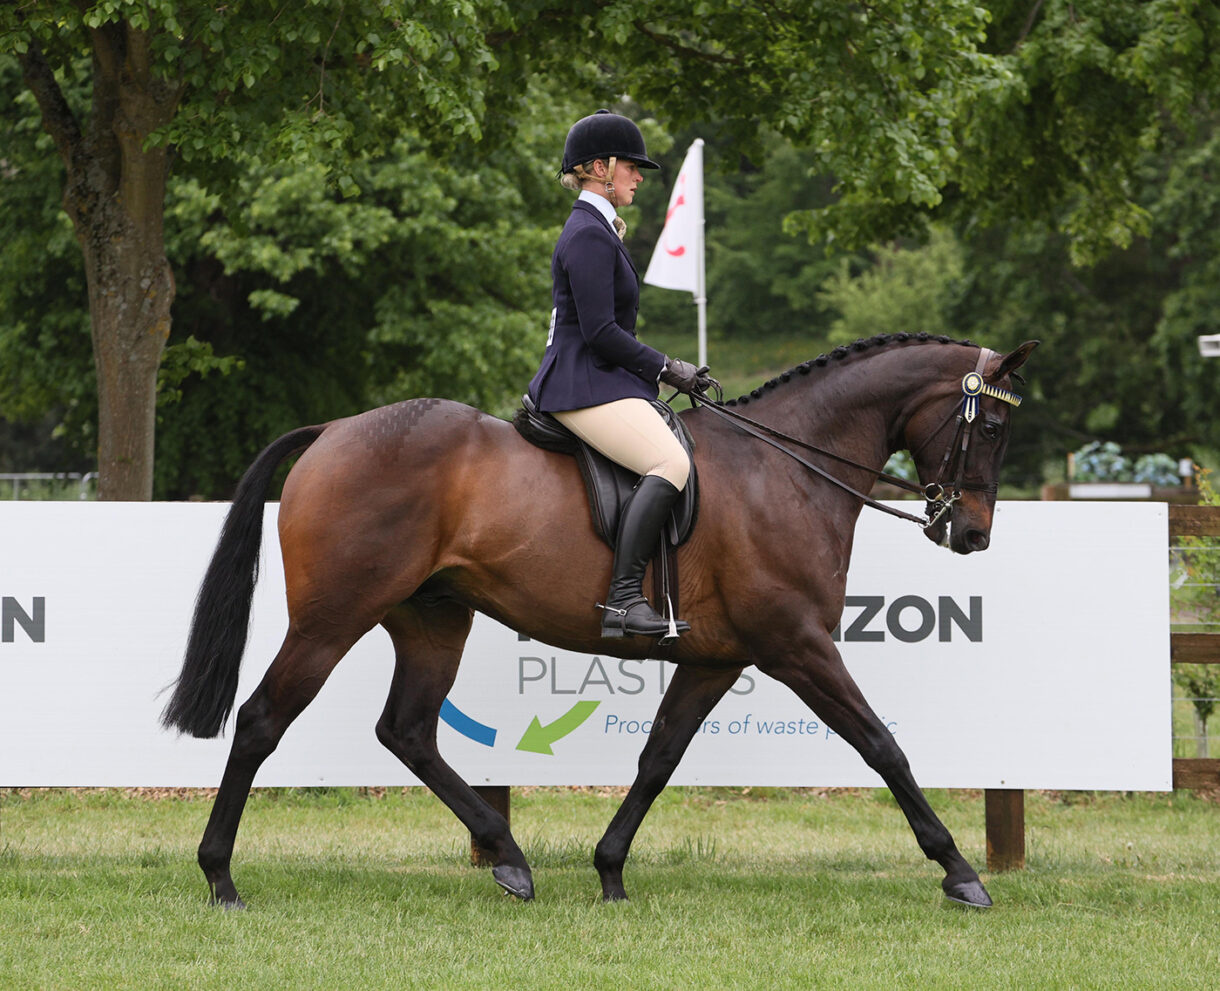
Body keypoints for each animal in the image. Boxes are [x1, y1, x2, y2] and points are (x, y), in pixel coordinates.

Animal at [162, 332, 1038, 910]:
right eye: (992, 428)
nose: (972, 534)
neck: (785, 467)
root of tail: (334, 431)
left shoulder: (717, 658)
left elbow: (658, 757)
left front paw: (611, 867)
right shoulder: (798, 645)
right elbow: (882, 745)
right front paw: (960, 871)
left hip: (432, 618)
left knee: (407, 730)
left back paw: (510, 859)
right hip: (332, 617)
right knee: (263, 718)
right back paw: (220, 875)